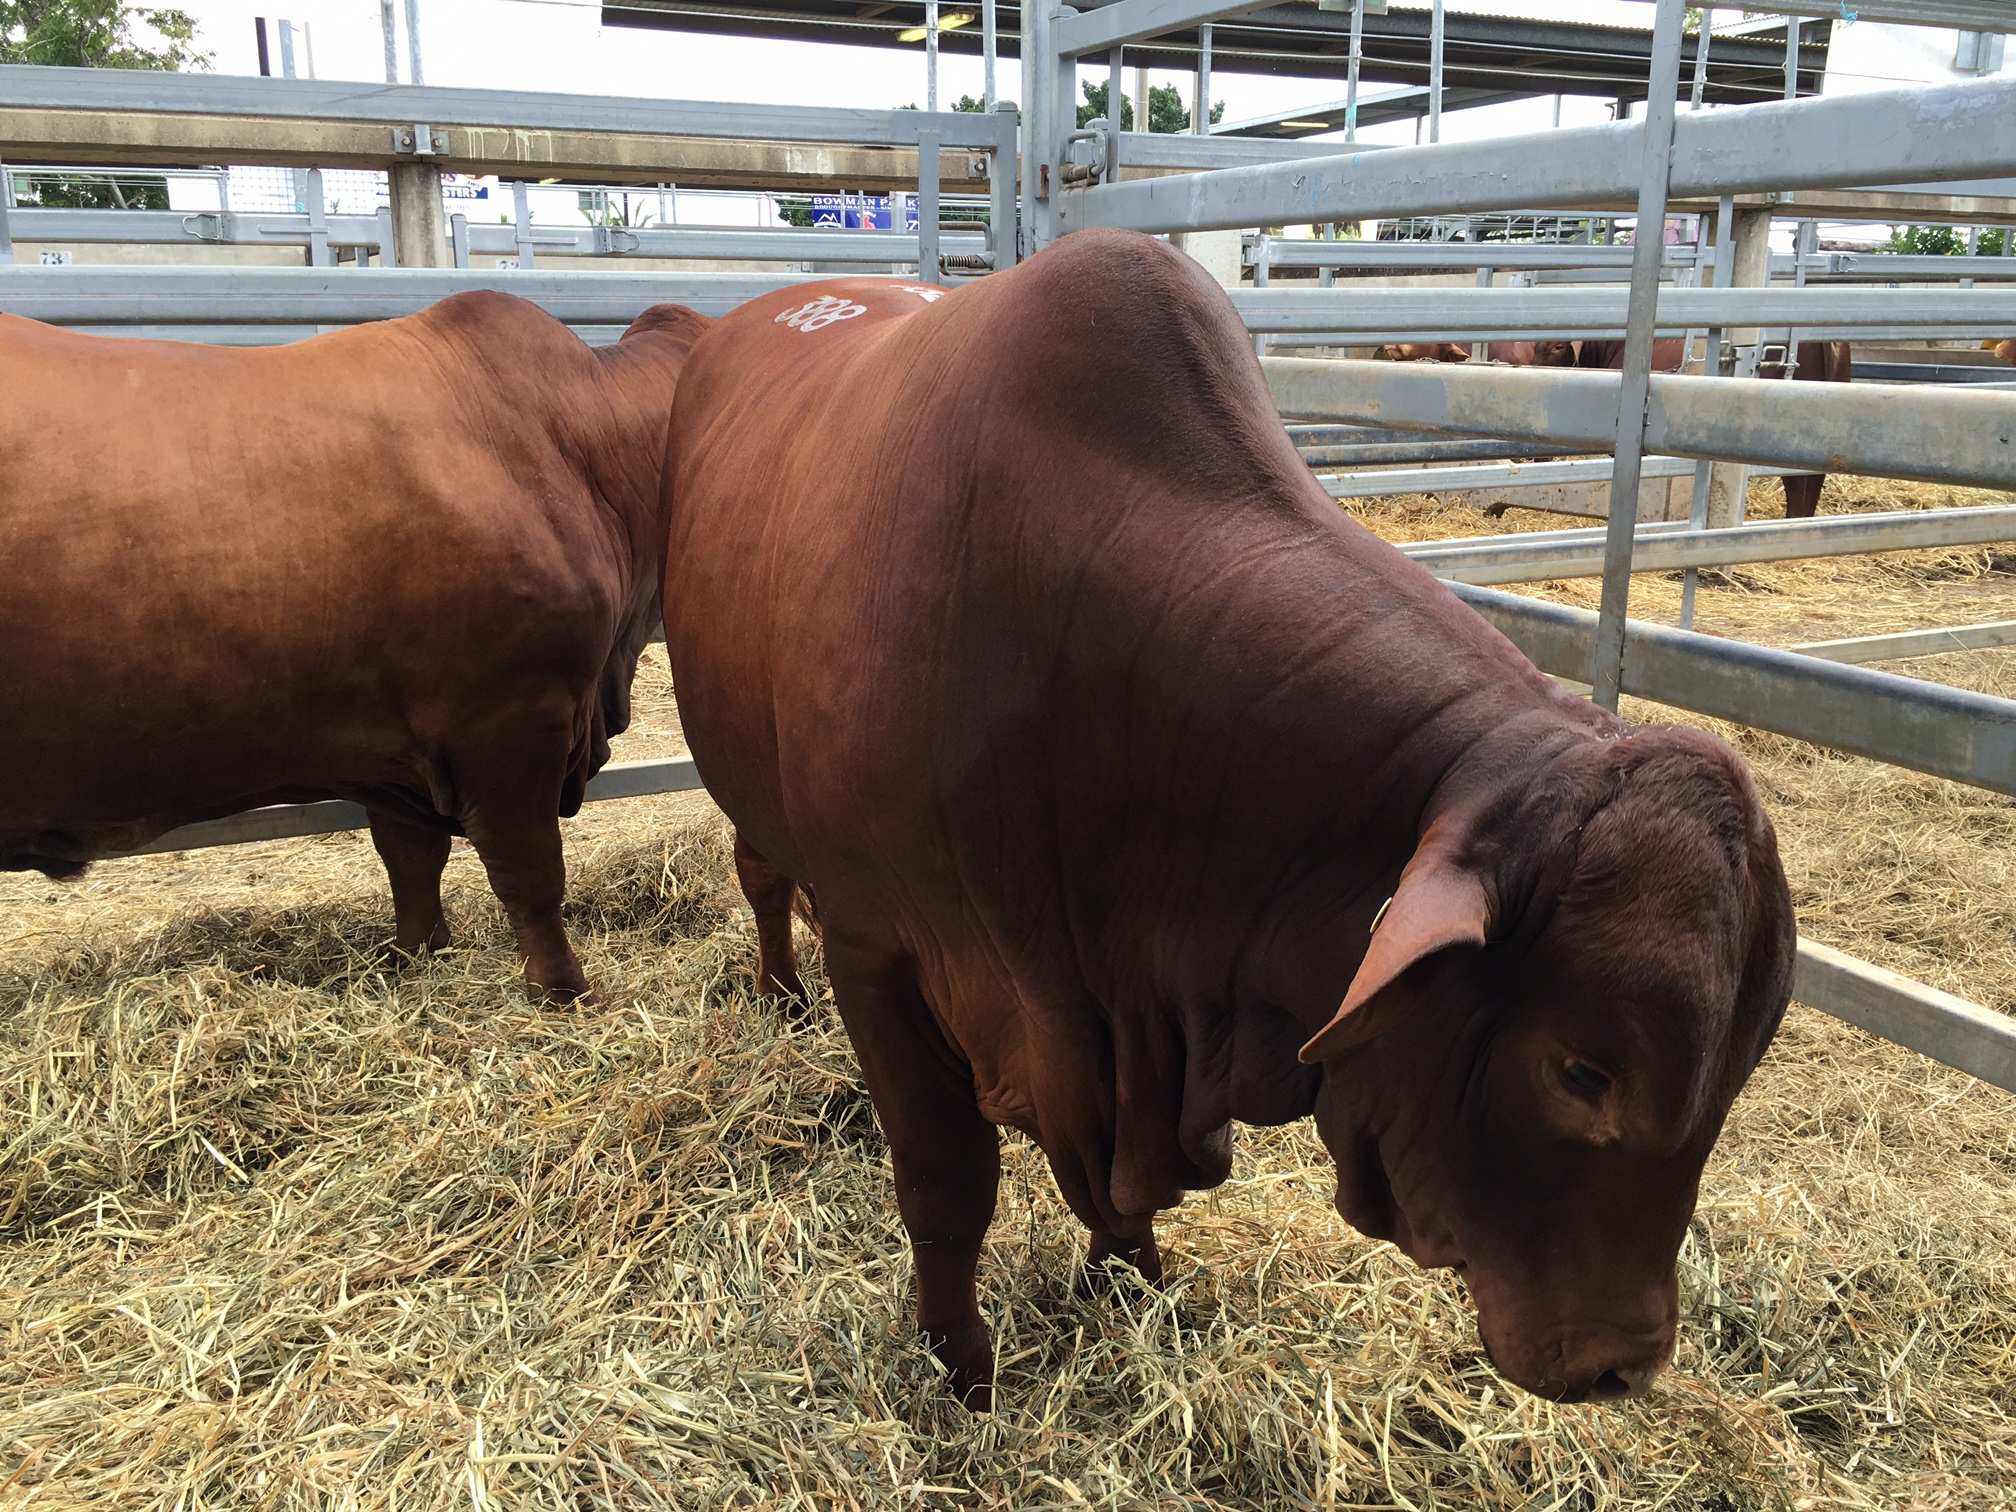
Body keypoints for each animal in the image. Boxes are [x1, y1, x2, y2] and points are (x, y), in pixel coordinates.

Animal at [0, 294, 706, 1002]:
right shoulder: (514, 719)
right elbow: (529, 874)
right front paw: (563, 992)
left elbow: (411, 859)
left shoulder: (392, 743)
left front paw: (415, 956)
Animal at [661, 233, 1795, 1411]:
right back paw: (779, 995)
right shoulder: (879, 949)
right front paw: (959, 1366)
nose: (1626, 1362)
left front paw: (1130, 1280)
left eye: (1739, 1070)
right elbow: (945, 1183)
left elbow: (1119, 1196)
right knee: (761, 876)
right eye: (1581, 1071)